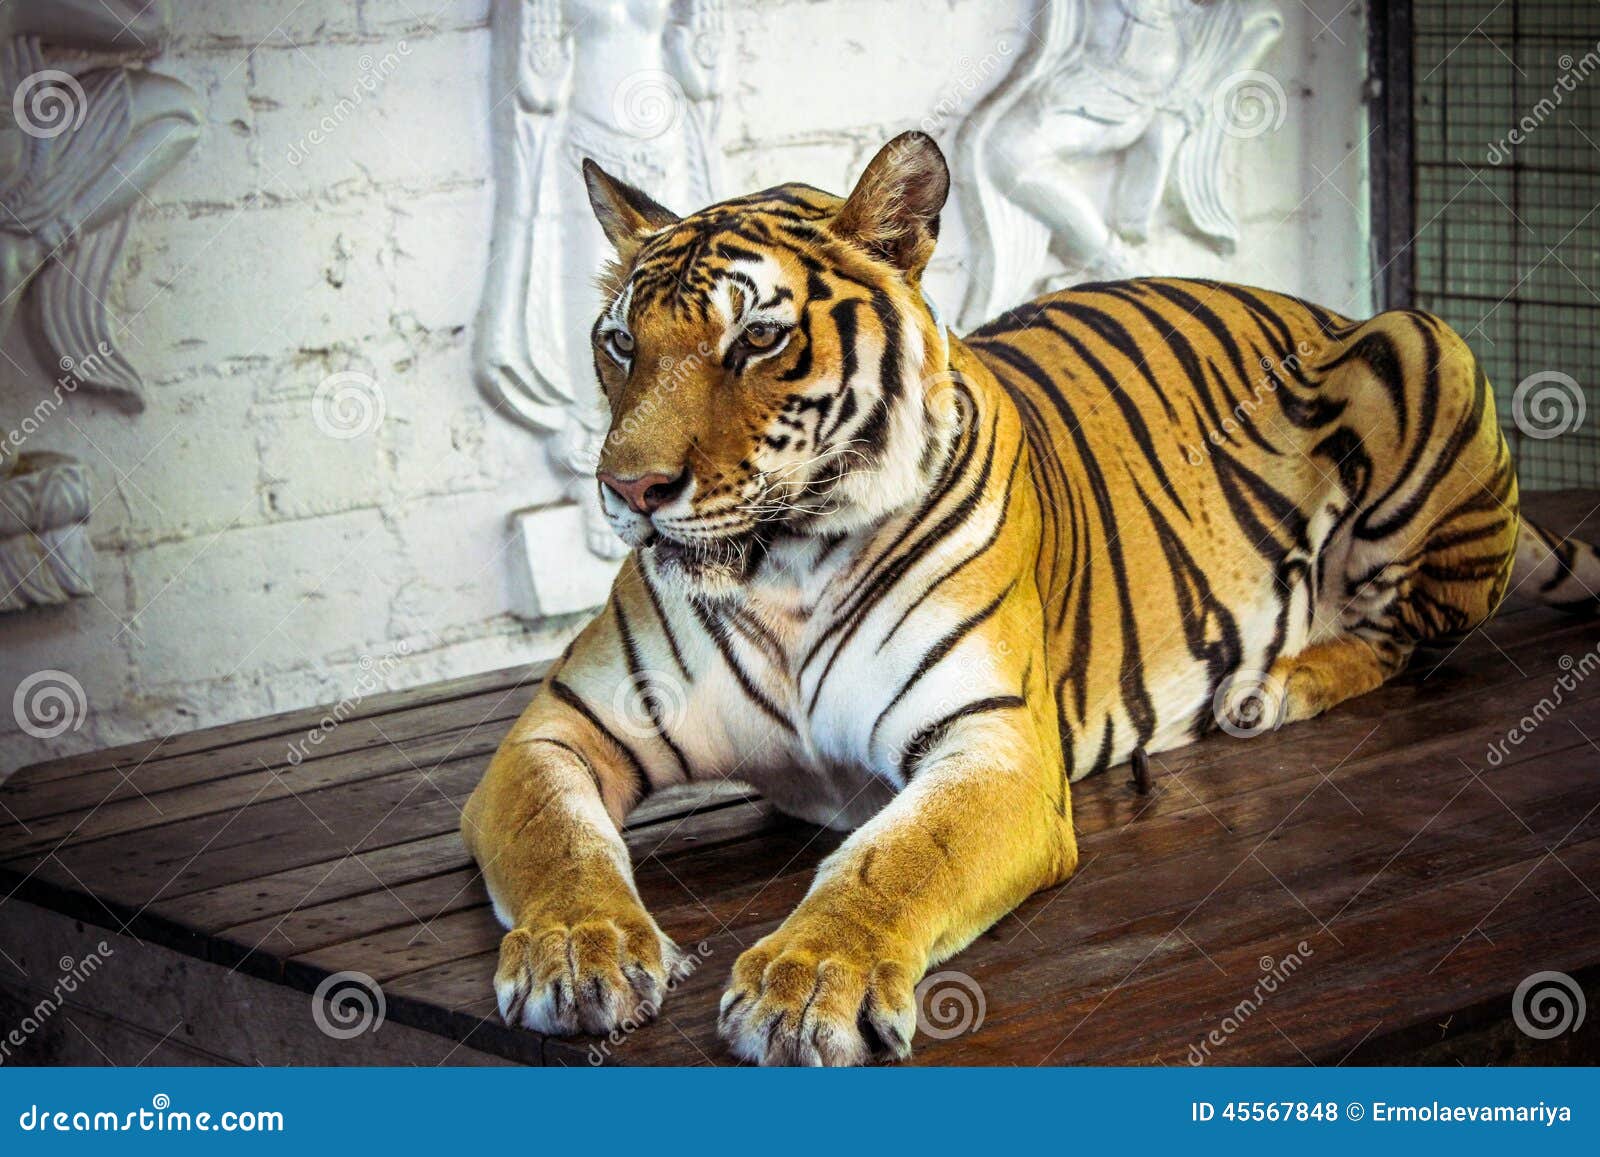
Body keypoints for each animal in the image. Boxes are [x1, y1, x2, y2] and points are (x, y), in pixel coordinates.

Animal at [461, 131, 1600, 1066]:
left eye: (757, 341)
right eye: (620, 343)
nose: (629, 490)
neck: (783, 569)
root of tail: (1326, 306)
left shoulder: (992, 747)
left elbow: (886, 862)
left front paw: (808, 985)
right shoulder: (561, 727)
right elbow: (559, 839)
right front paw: (577, 951)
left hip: (1418, 343)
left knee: (1408, 635)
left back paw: (1271, 687)